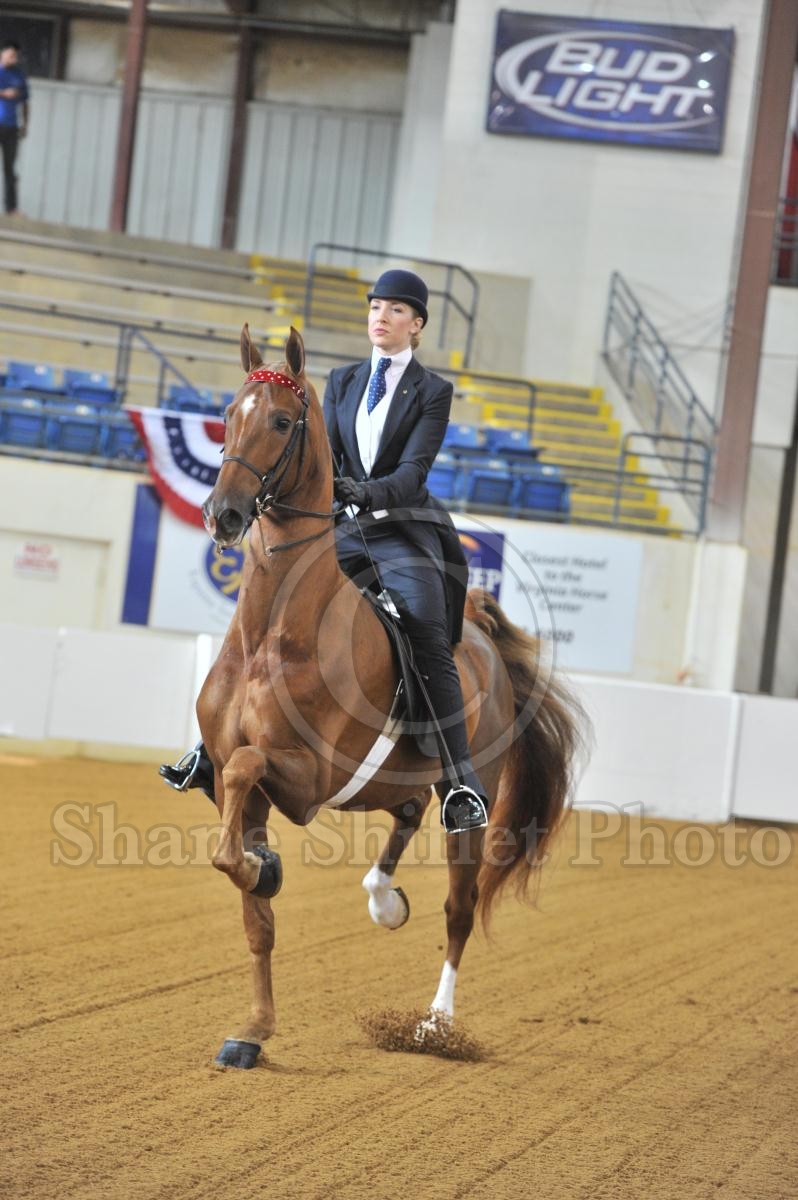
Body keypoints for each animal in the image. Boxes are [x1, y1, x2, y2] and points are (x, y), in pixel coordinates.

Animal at [197, 324, 582, 1068]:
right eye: (228, 414)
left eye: (282, 422)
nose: (223, 515)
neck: (271, 634)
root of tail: (481, 633)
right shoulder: (244, 789)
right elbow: (252, 907)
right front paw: (253, 1030)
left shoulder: (308, 779)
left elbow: (247, 777)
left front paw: (266, 868)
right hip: (396, 777)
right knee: (406, 811)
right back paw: (383, 900)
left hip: (471, 799)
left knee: (459, 908)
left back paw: (435, 1026)